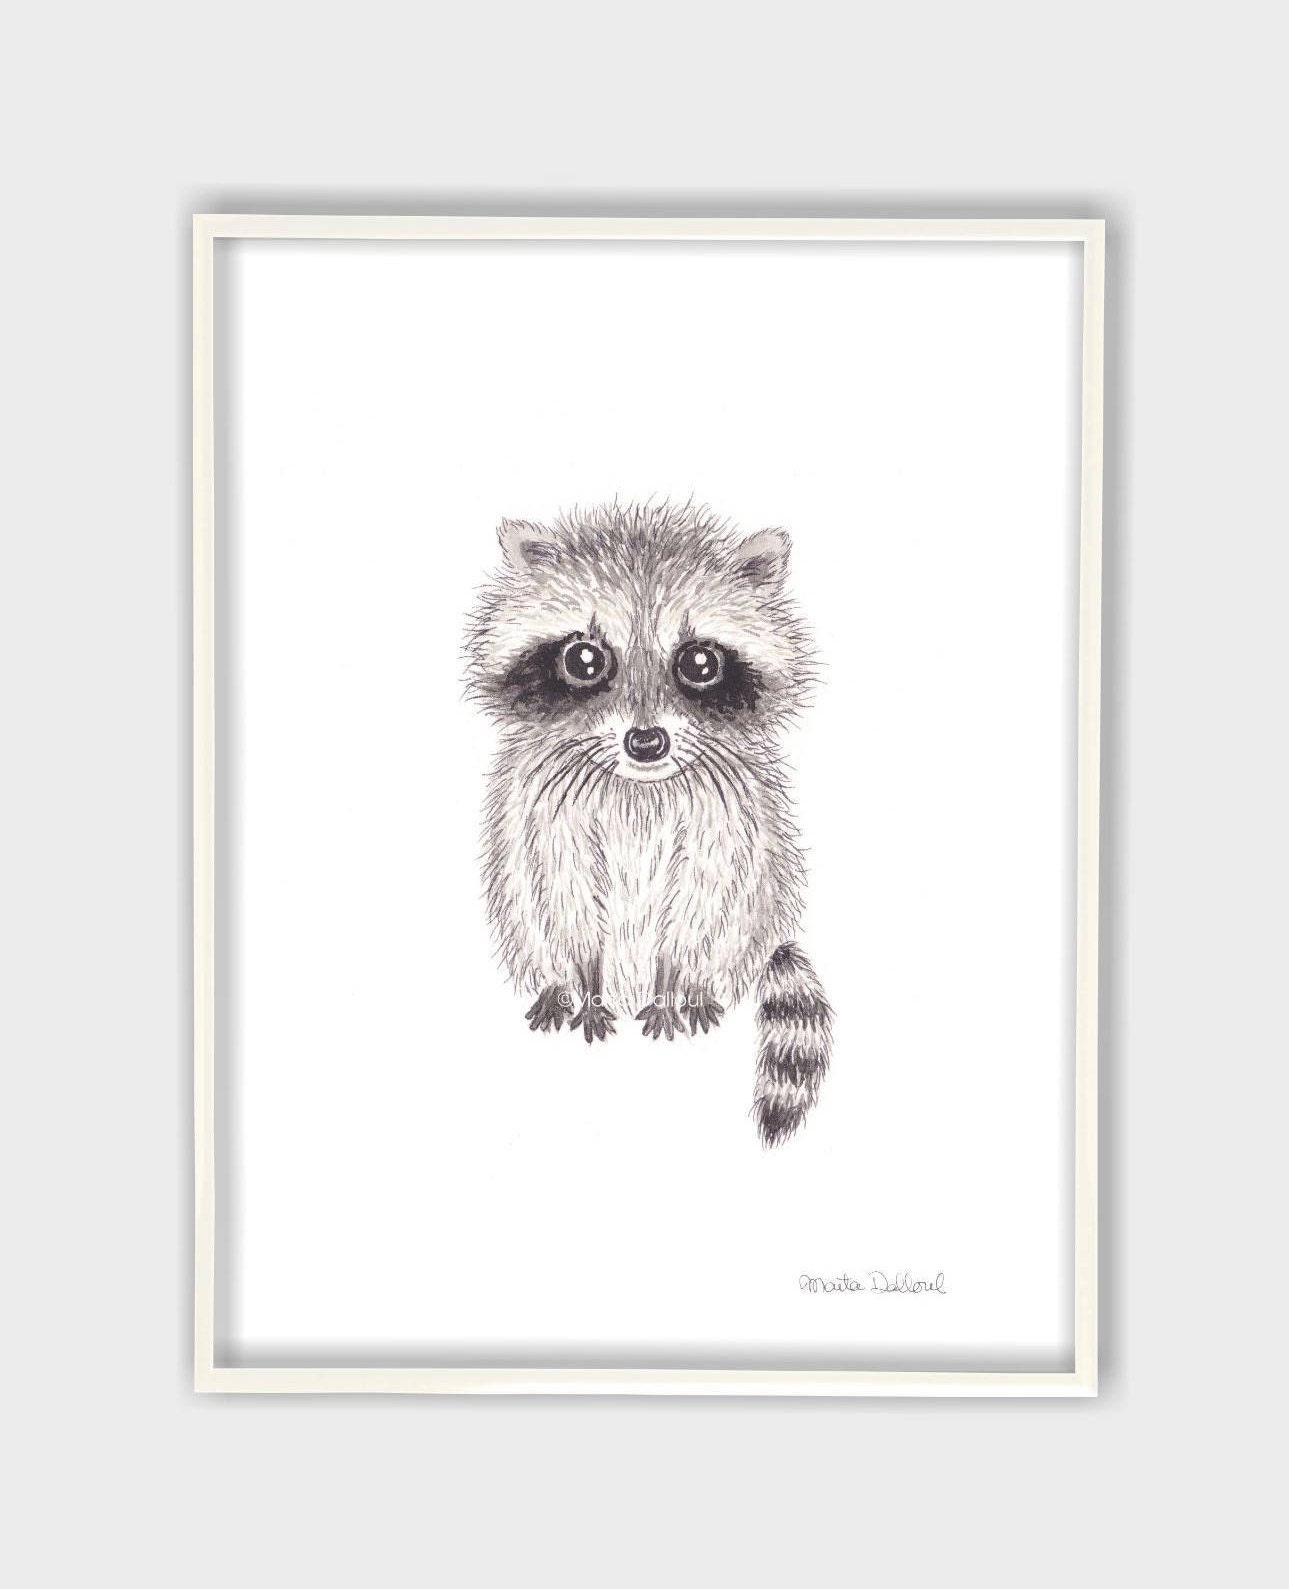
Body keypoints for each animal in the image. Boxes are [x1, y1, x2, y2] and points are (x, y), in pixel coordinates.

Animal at [464, 501, 833, 1146]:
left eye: (700, 662)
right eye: (584, 658)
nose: (646, 742)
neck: (639, 786)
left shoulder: (726, 821)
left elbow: (698, 905)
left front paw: (673, 986)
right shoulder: (547, 815)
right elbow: (565, 899)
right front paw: (583, 986)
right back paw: (559, 986)